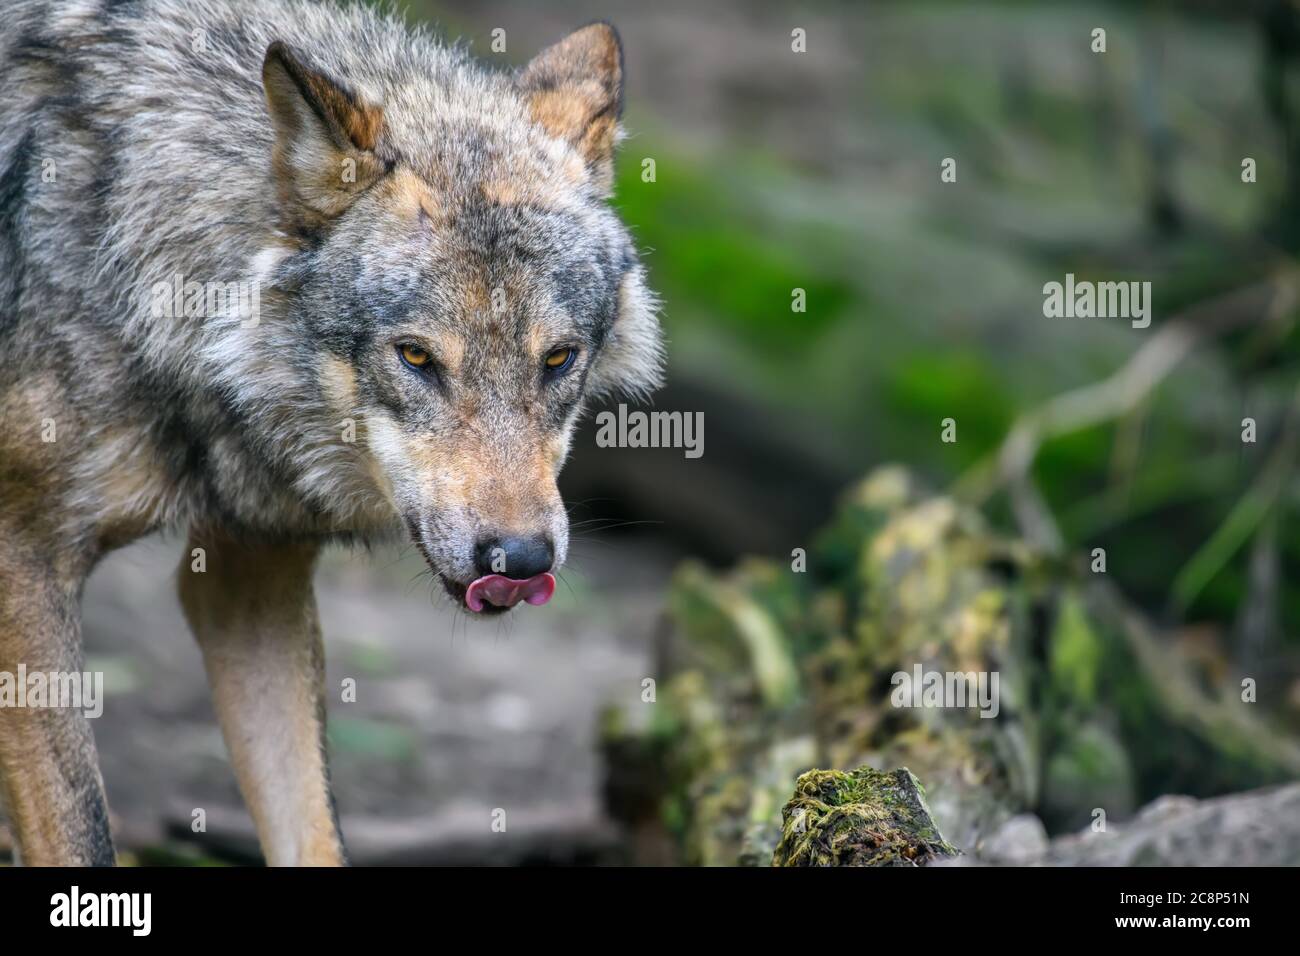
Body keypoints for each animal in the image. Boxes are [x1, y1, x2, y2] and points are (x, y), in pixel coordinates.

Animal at [0, 0, 663, 865]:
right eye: (415, 357)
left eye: (558, 359)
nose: (518, 560)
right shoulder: (24, 562)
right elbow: (82, 834)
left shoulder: (250, 576)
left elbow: (312, 831)